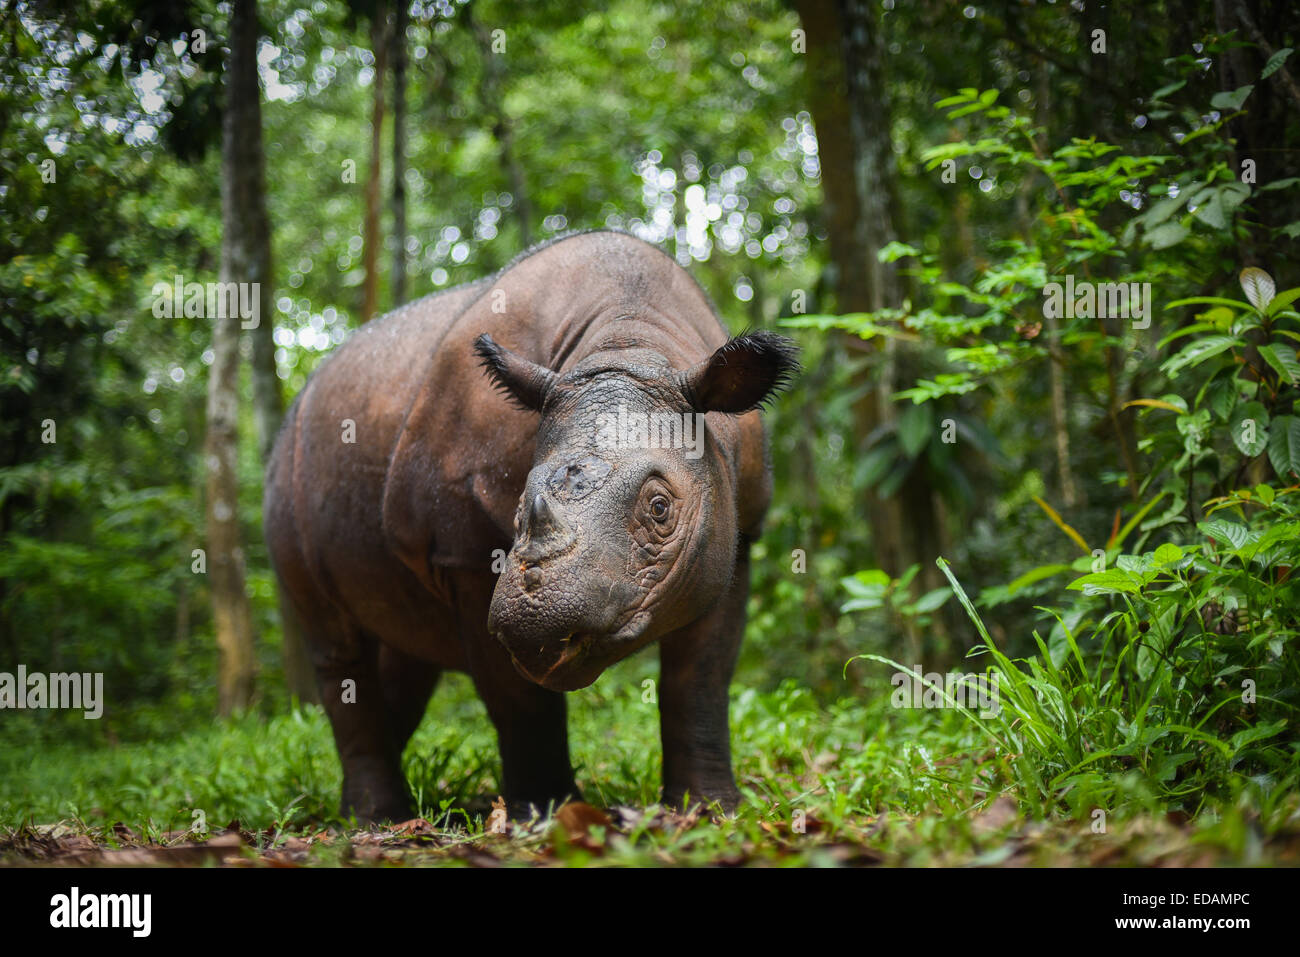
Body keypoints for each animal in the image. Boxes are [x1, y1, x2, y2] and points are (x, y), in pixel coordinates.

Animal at [264, 229, 798, 822]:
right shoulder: (464, 553)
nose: (539, 617)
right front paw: (546, 814)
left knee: (405, 651)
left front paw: (709, 810)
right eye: (520, 507)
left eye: (660, 508)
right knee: (337, 645)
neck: (630, 344)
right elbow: (517, 697)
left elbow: (700, 679)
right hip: (286, 474)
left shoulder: (738, 533)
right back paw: (376, 817)